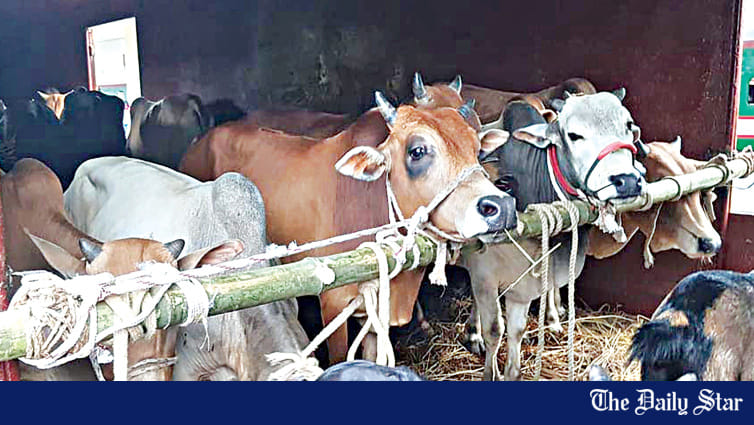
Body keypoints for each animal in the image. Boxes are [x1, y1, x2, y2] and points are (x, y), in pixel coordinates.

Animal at [462, 91, 645, 380]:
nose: (626, 180)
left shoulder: (522, 287)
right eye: (574, 135)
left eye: (628, 125)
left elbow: (515, 332)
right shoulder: (485, 277)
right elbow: (495, 331)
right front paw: (490, 371)